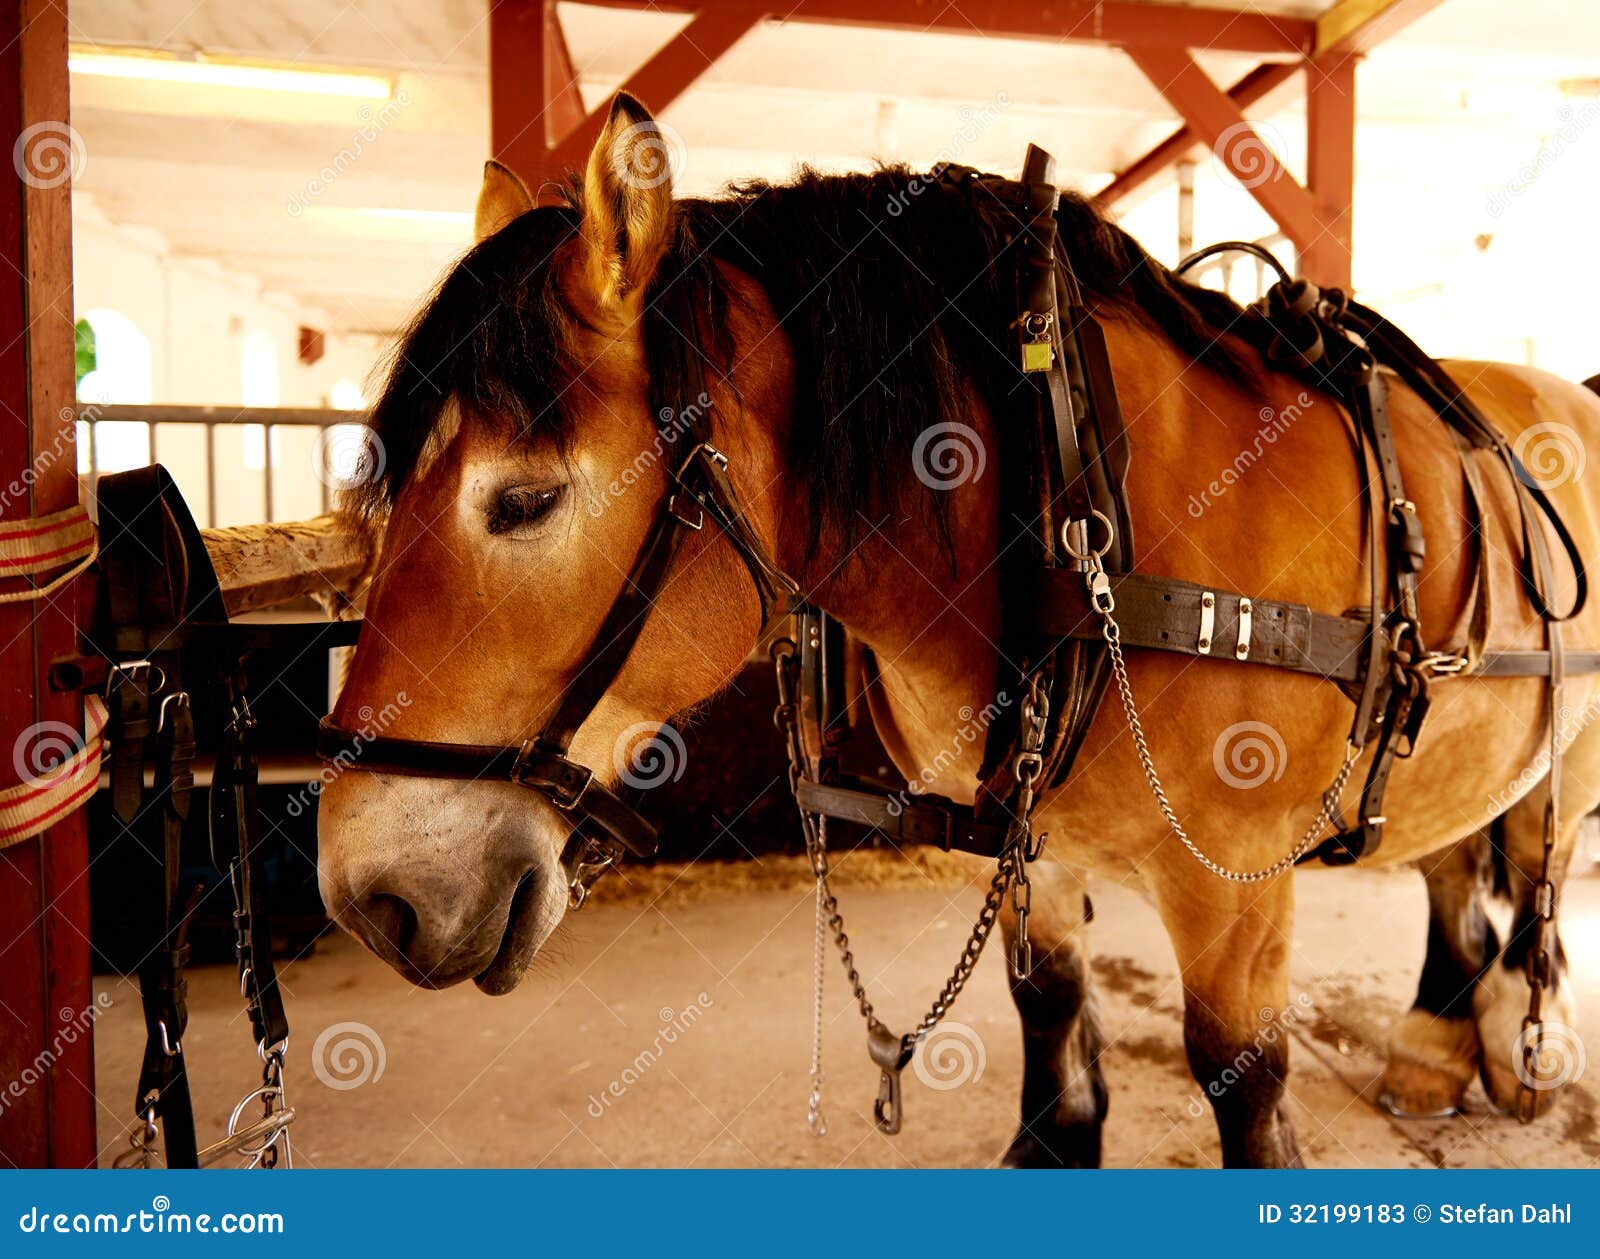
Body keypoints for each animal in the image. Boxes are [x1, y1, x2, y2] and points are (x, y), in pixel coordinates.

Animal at [315, 94, 1600, 1168]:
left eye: (523, 500)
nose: (368, 894)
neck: (1066, 507)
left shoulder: (1233, 889)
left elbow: (1246, 1087)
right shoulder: (1043, 848)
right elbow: (1049, 1027)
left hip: (1565, 761)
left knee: (1533, 883)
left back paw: (1519, 1038)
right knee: (1453, 857)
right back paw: (1436, 1042)